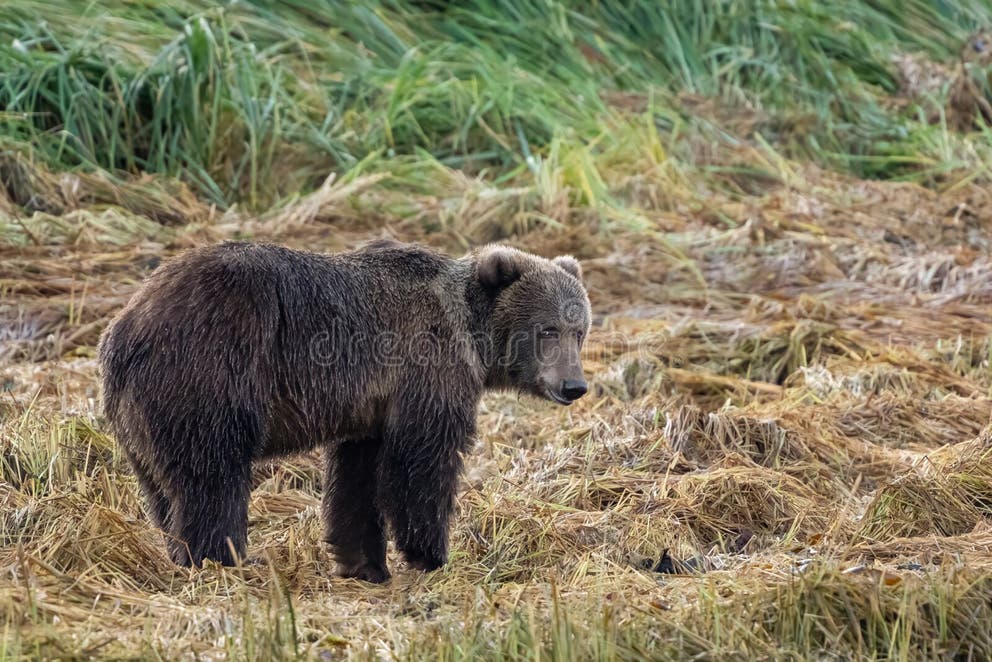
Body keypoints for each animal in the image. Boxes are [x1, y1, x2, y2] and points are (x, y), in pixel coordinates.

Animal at [98, 239, 590, 582]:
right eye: (548, 329)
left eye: (579, 330)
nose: (575, 385)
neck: (471, 330)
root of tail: (125, 329)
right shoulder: (425, 368)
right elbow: (423, 462)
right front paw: (431, 554)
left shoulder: (369, 409)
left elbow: (358, 479)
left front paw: (364, 563)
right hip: (213, 377)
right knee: (213, 476)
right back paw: (222, 557)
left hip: (142, 418)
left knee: (164, 488)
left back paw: (182, 553)